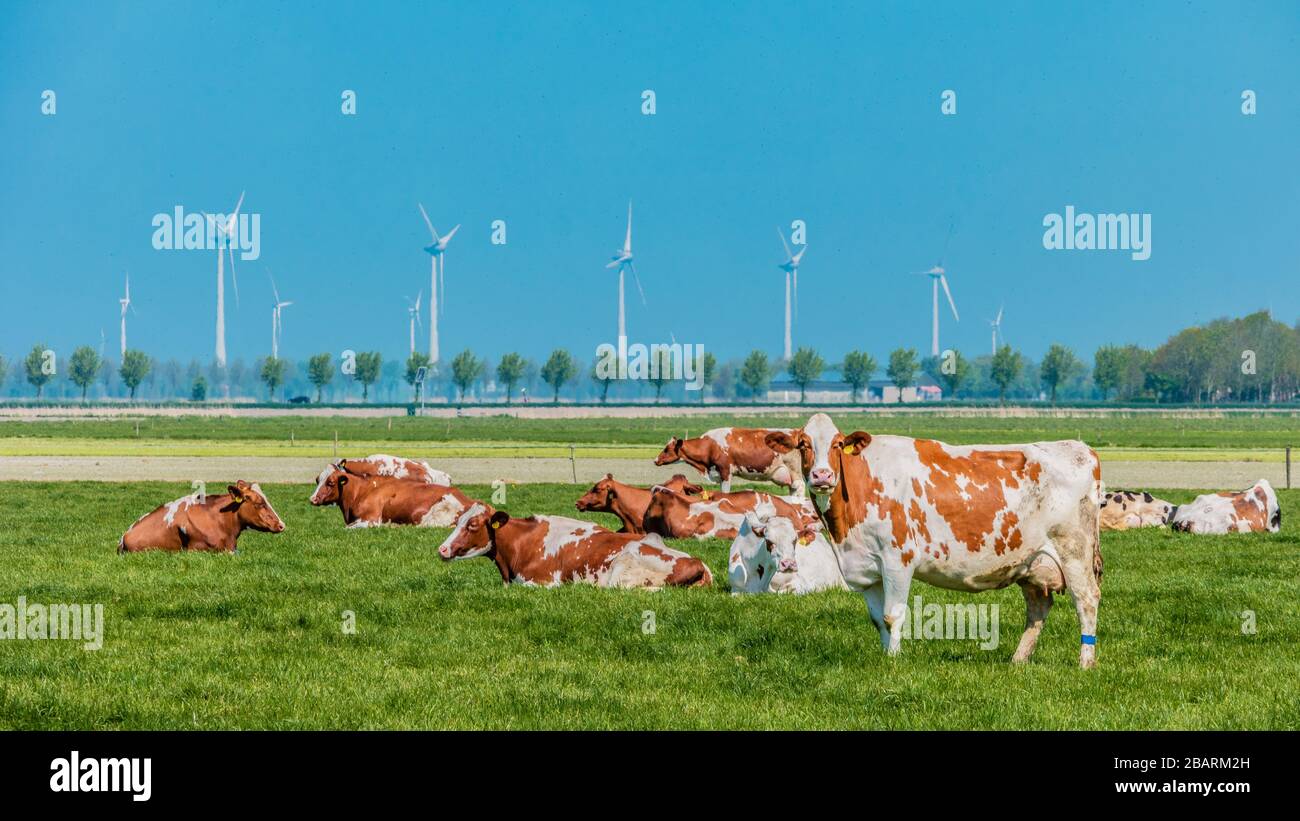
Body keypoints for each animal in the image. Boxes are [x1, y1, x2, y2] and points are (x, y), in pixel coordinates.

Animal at [654, 428, 806, 496]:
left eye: (666, 449)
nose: (655, 460)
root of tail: (796, 432)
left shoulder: (725, 471)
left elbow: (725, 492)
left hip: (794, 471)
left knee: (800, 487)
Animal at [767, 412, 1103, 668]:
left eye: (837, 444)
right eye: (803, 444)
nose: (822, 476)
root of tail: (1080, 448)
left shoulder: (897, 560)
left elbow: (893, 615)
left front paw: (894, 662)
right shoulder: (868, 567)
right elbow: (878, 619)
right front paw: (886, 656)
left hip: (1073, 551)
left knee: (1086, 599)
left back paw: (1085, 662)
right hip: (1031, 561)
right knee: (1038, 607)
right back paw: (1018, 661)